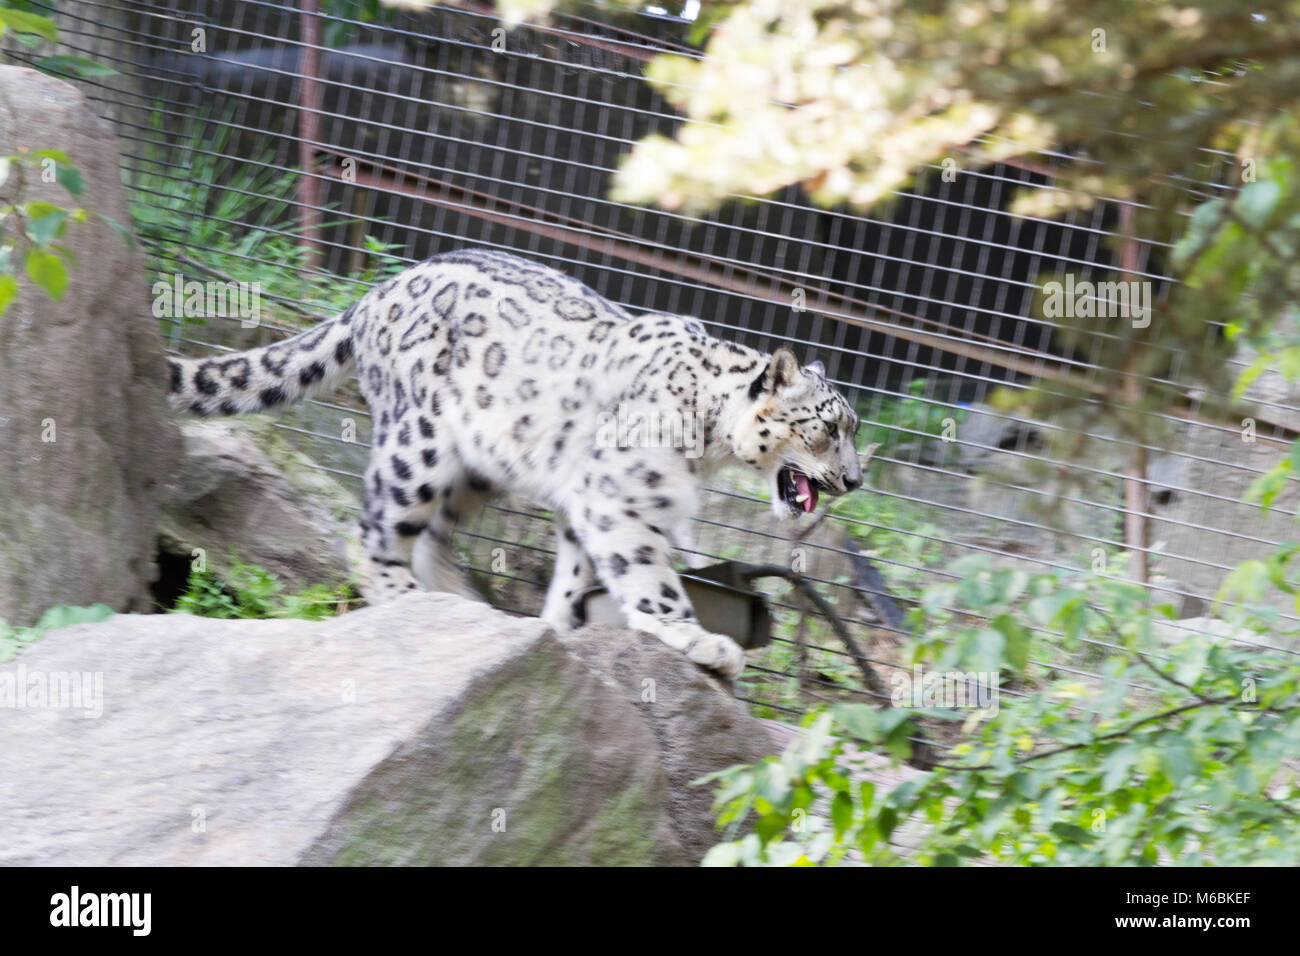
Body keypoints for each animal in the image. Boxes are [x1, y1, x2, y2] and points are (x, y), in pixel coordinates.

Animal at [166, 249, 864, 679]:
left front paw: (558, 631)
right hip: (418, 445)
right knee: (372, 533)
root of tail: (373, 295)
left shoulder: (591, 505)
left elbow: (577, 576)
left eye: (850, 428)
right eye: (829, 427)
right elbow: (650, 578)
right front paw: (702, 641)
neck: (706, 446)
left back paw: (463, 609)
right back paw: (409, 606)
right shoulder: (615, 498)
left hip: (475, 466)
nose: (854, 479)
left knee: (431, 536)